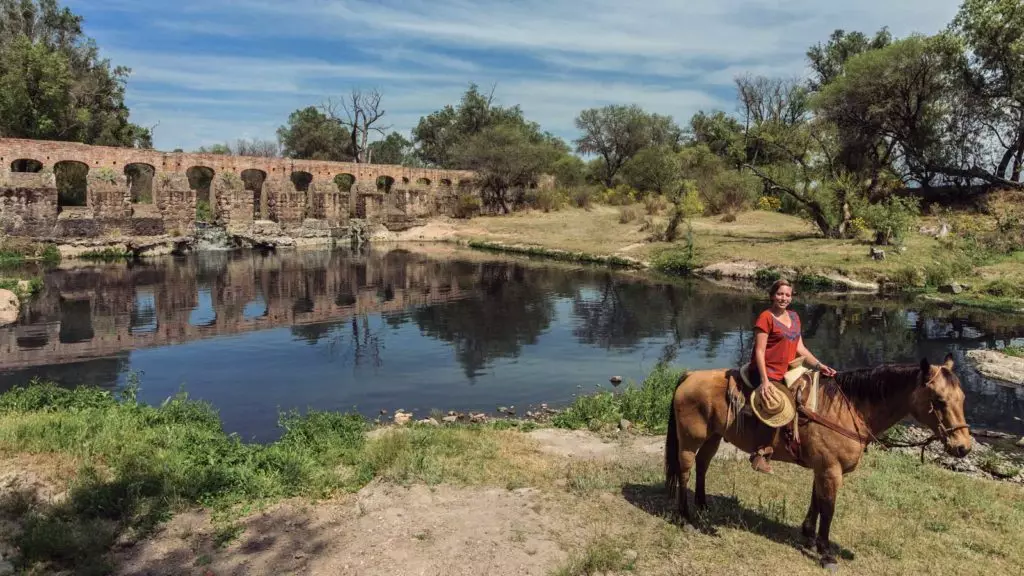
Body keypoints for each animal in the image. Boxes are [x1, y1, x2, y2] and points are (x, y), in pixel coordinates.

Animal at [667, 352, 970, 565]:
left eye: (962, 398)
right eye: (939, 400)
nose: (963, 447)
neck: (847, 411)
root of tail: (689, 376)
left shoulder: (822, 468)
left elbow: (816, 501)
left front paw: (809, 537)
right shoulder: (830, 470)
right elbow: (828, 509)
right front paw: (826, 552)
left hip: (713, 437)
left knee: (703, 466)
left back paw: (703, 506)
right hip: (690, 440)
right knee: (685, 470)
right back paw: (685, 517)